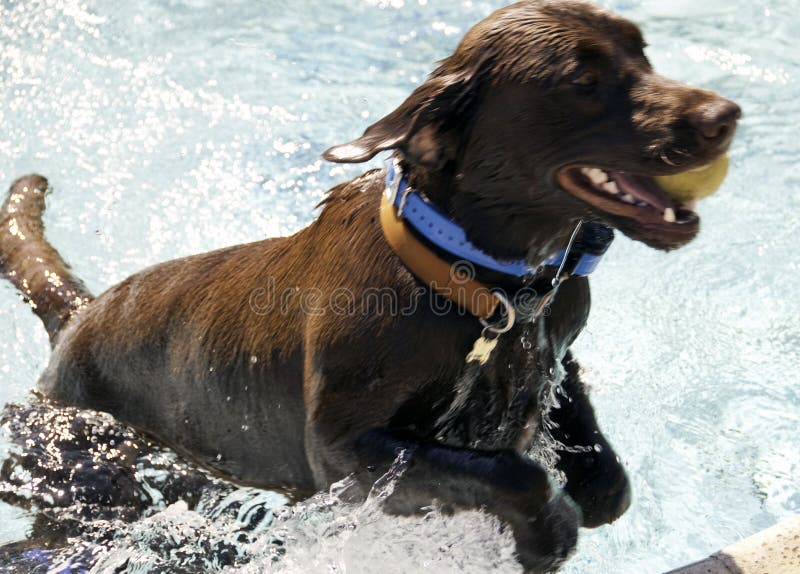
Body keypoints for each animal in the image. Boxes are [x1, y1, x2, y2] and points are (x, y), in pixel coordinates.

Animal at [0, 2, 736, 572]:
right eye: (582, 80)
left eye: (643, 53)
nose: (725, 114)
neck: (477, 282)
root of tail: (80, 314)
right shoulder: (346, 453)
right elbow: (510, 473)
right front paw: (548, 528)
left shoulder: (554, 342)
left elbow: (599, 466)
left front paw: (590, 482)